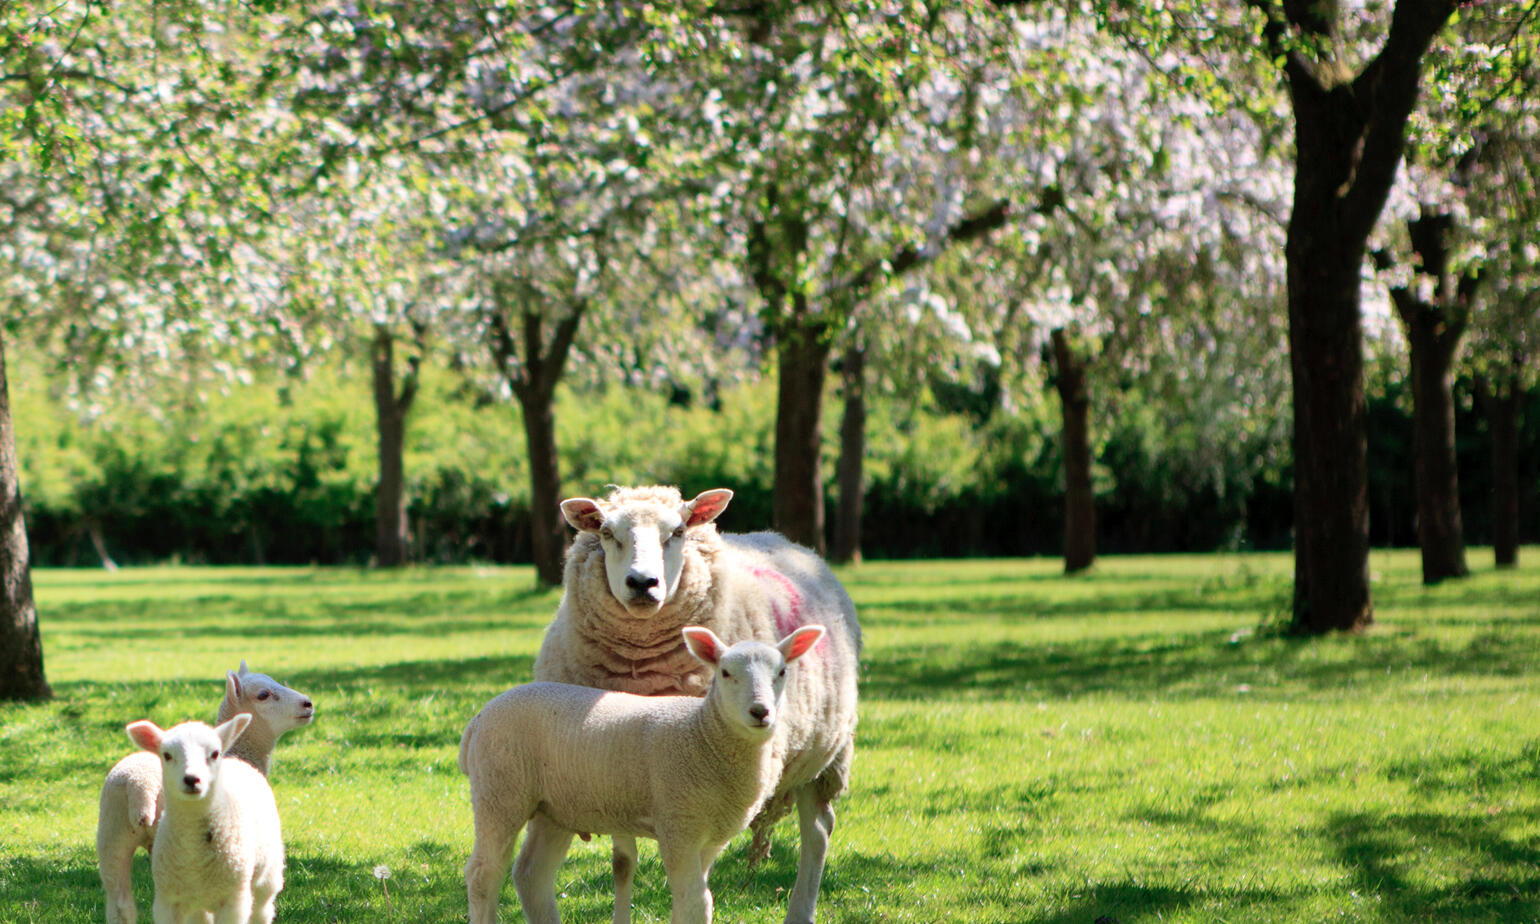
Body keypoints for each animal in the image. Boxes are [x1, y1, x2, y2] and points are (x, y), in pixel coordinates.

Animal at [124, 715, 285, 924]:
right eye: (167, 755)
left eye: (215, 753)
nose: (192, 779)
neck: (194, 856)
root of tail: (237, 761)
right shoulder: (168, 901)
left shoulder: (233, 900)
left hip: (267, 875)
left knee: (262, 910)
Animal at [460, 623, 826, 924]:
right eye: (725, 673)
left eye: (782, 672)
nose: (760, 711)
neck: (702, 736)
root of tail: (477, 719)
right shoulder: (677, 826)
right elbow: (697, 903)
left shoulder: (710, 838)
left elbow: (686, 901)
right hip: (500, 793)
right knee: (482, 874)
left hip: (554, 809)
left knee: (531, 875)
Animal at [526, 485, 862, 924]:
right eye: (606, 533)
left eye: (679, 531)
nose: (643, 582)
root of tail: (786, 541)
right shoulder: (615, 771)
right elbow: (623, 863)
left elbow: (693, 876)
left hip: (823, 756)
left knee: (818, 831)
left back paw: (801, 909)